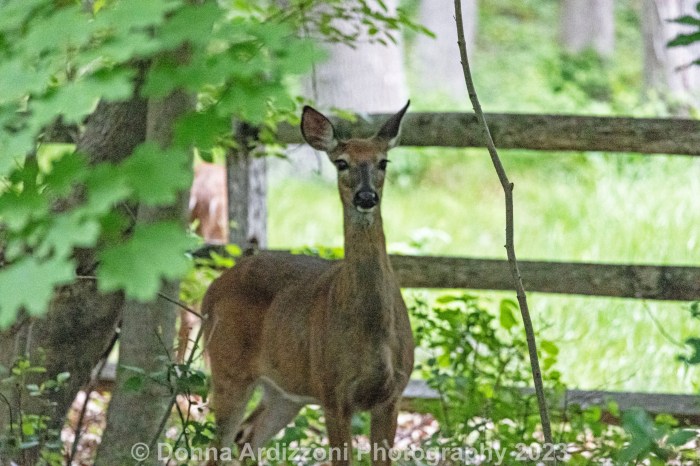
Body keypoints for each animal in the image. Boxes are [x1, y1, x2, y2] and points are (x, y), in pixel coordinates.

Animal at [202, 102, 415, 465]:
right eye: (341, 162)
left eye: (383, 161)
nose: (366, 197)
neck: (372, 331)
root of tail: (211, 290)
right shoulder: (333, 393)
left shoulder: (392, 395)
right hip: (228, 367)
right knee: (218, 447)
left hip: (285, 391)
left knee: (248, 435)